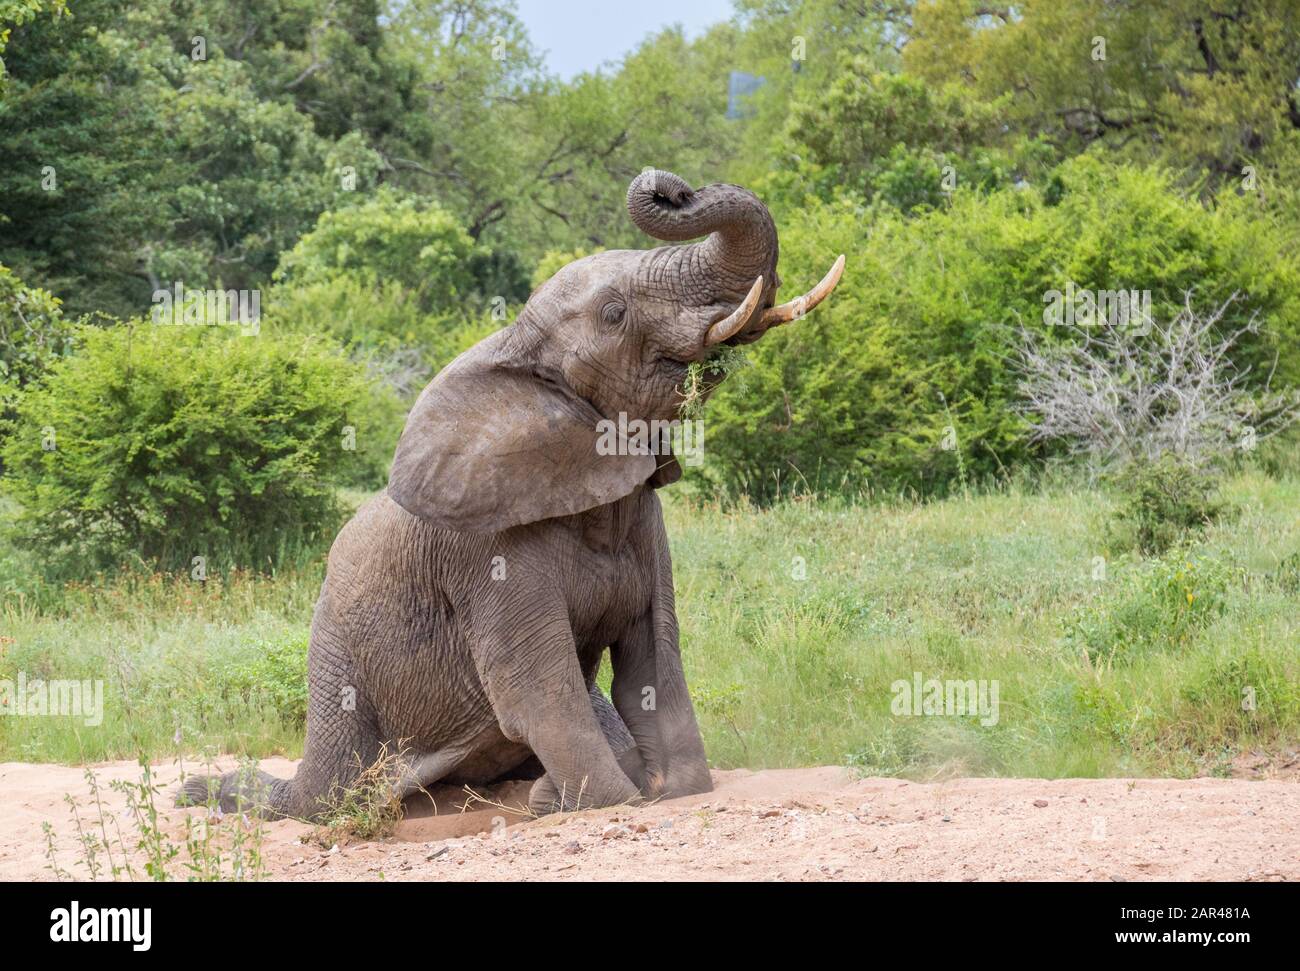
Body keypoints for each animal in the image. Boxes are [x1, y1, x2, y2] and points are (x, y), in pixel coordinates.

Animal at [180, 168, 843, 818]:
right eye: (613, 314)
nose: (674, 189)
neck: (515, 346)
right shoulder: (487, 555)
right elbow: (540, 692)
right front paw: (594, 801)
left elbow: (652, 669)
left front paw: (667, 787)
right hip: (338, 670)